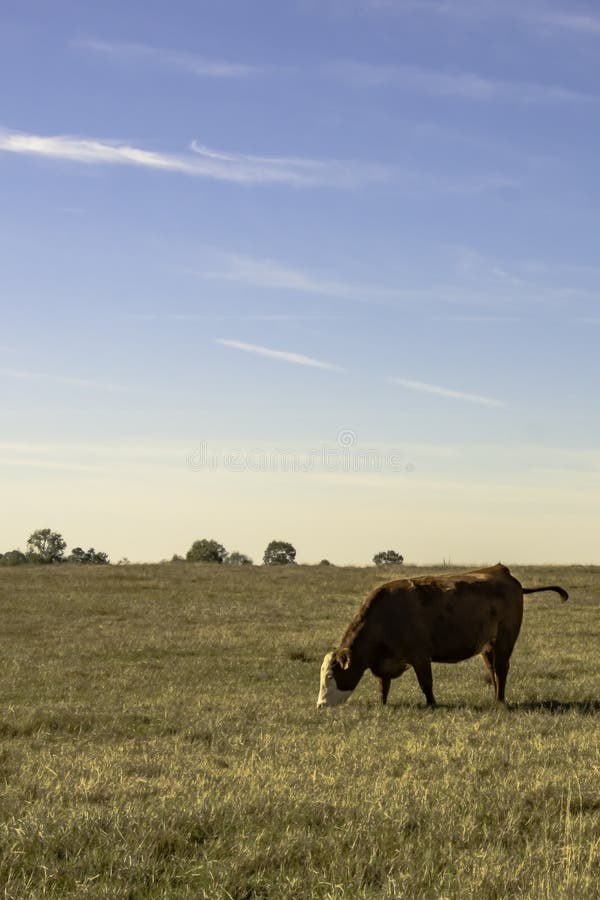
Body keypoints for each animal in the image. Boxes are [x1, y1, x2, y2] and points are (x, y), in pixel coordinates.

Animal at [317, 564, 568, 709]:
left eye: (330, 676)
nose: (320, 705)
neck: (385, 615)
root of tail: (504, 573)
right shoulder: (385, 661)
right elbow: (383, 685)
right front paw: (382, 703)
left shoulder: (420, 657)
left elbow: (426, 683)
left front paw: (432, 704)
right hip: (488, 646)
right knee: (492, 670)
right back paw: (496, 698)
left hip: (505, 641)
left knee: (501, 670)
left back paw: (500, 700)